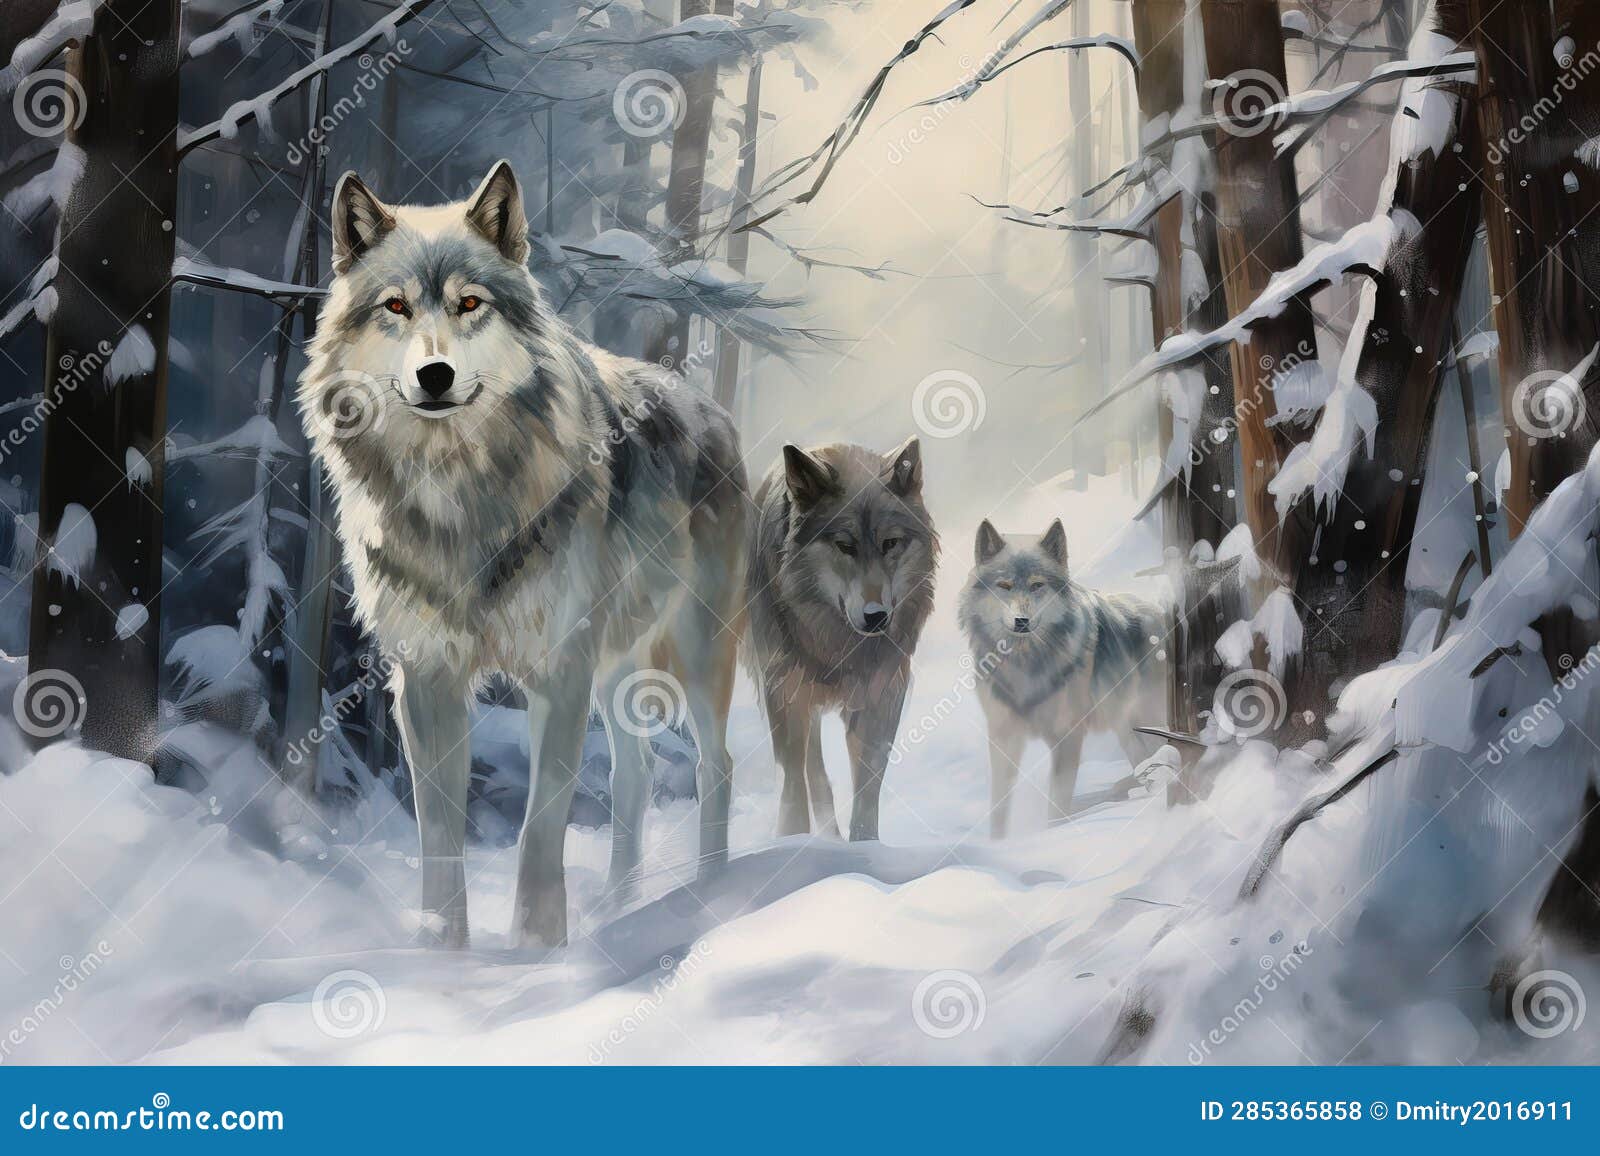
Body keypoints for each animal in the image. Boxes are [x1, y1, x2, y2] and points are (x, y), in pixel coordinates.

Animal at [298, 162, 747, 948]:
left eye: (469, 303)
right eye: (395, 306)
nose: (436, 375)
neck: (458, 500)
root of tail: (710, 406)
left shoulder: (559, 673)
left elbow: (541, 828)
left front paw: (537, 948)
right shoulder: (428, 680)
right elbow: (439, 834)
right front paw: (442, 949)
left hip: (694, 654)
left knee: (715, 766)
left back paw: (707, 896)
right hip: (618, 667)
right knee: (634, 771)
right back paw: (618, 906)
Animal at [746, 440, 937, 841]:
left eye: (890, 543)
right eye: (844, 545)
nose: (876, 616)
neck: (839, 648)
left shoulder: (885, 692)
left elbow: (868, 785)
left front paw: (864, 848)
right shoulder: (781, 687)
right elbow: (792, 779)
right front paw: (791, 841)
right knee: (810, 769)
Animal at [959, 519, 1164, 837]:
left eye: (1037, 585)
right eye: (1004, 586)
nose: (1021, 621)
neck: (1026, 664)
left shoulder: (1067, 734)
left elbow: (1056, 803)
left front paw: (1052, 835)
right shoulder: (1003, 736)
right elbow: (999, 806)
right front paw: (997, 843)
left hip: (1134, 718)